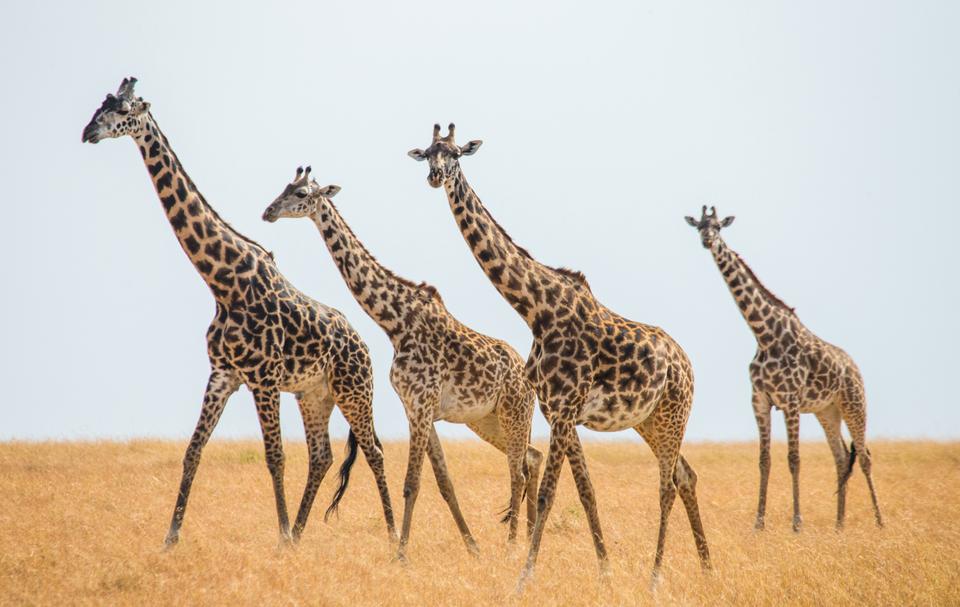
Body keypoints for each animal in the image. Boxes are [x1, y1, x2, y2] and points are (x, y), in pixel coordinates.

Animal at [81, 78, 396, 546]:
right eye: (102, 104)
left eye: (124, 110)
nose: (88, 133)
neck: (223, 284)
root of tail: (365, 346)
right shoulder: (223, 374)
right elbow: (193, 450)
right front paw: (170, 540)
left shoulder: (262, 378)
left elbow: (275, 456)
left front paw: (279, 538)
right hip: (314, 394)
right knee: (321, 456)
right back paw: (301, 533)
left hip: (354, 388)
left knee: (372, 449)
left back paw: (393, 539)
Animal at [262, 166, 543, 558]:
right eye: (283, 188)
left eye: (301, 193)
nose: (269, 212)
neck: (395, 322)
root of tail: (526, 376)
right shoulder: (416, 408)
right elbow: (443, 481)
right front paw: (471, 546)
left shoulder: (422, 406)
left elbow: (412, 482)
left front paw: (402, 553)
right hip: (487, 420)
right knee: (532, 458)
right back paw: (525, 537)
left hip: (514, 413)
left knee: (517, 471)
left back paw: (513, 543)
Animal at [409, 124, 711, 590]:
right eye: (426, 154)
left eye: (456, 154)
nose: (435, 176)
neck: (536, 310)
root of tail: (688, 364)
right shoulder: (557, 411)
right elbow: (585, 489)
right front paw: (605, 572)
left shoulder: (566, 409)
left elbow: (552, 492)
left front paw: (523, 577)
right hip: (650, 420)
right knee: (685, 475)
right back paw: (706, 566)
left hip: (675, 413)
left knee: (665, 486)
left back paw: (657, 576)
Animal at [685, 206, 883, 532]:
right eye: (699, 226)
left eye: (718, 226)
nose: (707, 240)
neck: (763, 334)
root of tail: (854, 367)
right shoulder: (760, 400)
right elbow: (764, 460)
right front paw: (759, 522)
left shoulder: (790, 400)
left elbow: (794, 459)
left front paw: (797, 522)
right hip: (826, 411)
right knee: (842, 457)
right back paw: (839, 524)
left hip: (854, 403)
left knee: (865, 455)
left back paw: (879, 520)